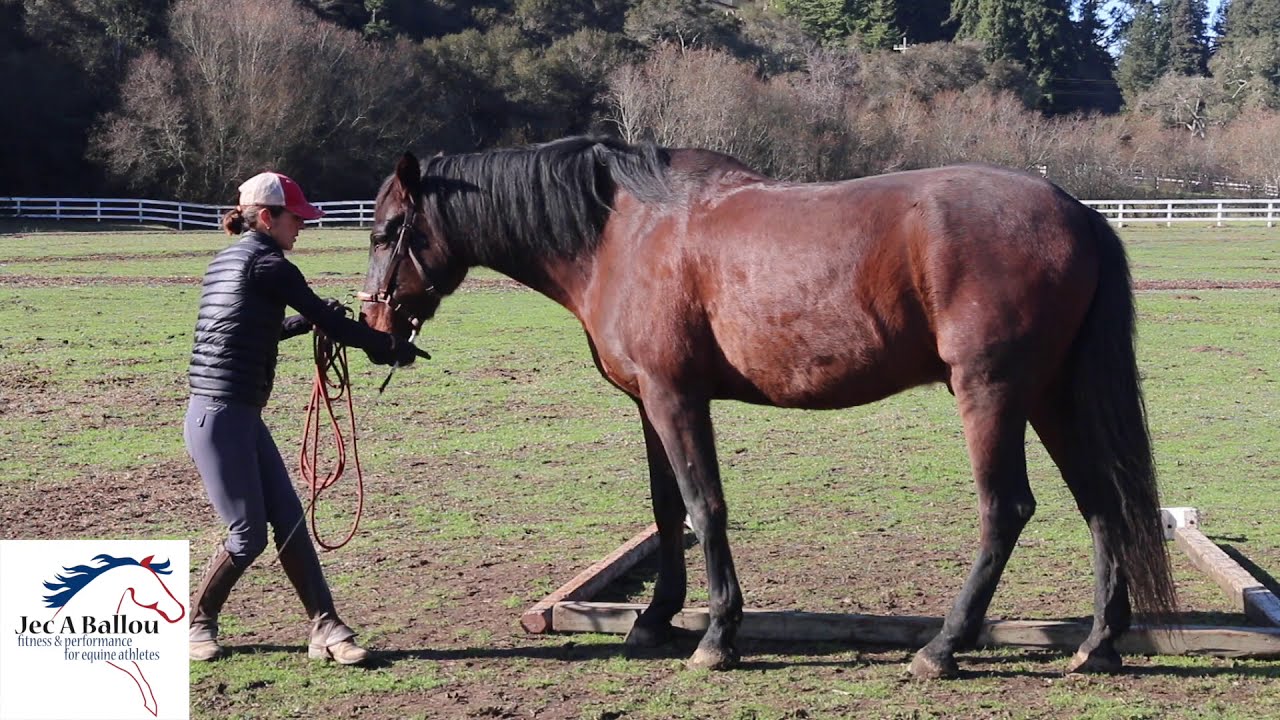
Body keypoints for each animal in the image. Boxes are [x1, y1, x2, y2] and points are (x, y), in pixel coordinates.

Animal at [358, 135, 1177, 678]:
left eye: (389, 230)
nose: (374, 326)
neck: (621, 233)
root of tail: (1077, 211)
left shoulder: (677, 398)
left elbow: (705, 506)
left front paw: (717, 636)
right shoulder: (649, 403)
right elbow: (667, 509)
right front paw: (655, 619)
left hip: (993, 393)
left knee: (1006, 509)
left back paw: (942, 648)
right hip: (1052, 395)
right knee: (1102, 504)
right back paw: (1098, 644)